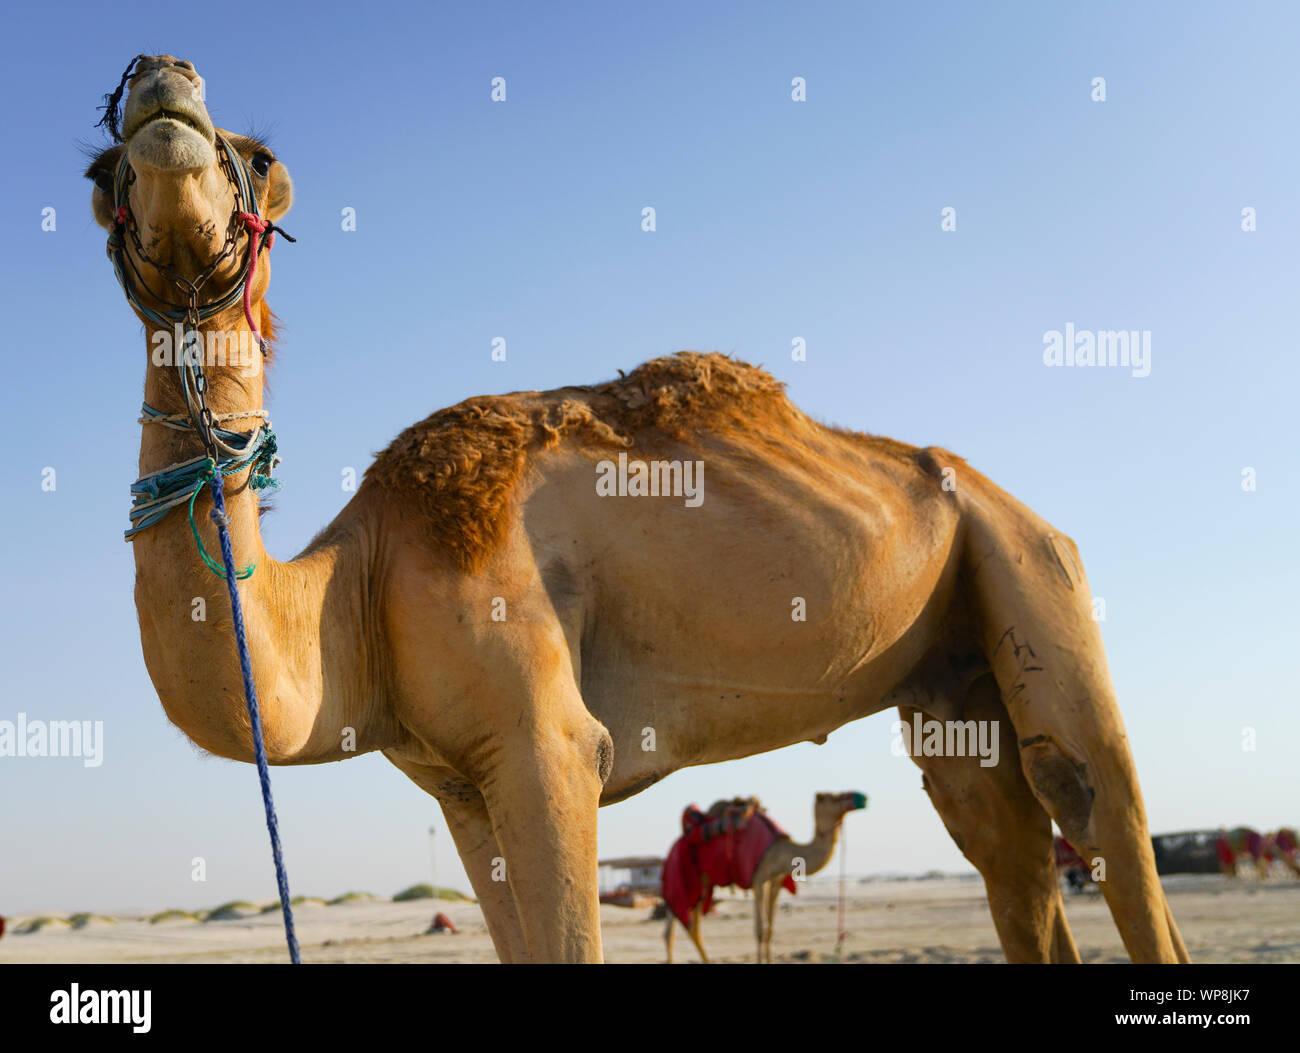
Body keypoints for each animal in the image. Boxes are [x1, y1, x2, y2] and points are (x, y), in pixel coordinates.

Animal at [664, 791, 866, 964]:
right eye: (832, 797)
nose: (861, 797)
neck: (782, 851)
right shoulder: (759, 880)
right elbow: (761, 929)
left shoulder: (775, 881)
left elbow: (770, 929)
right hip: (691, 878)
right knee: (678, 924)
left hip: (703, 885)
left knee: (689, 926)